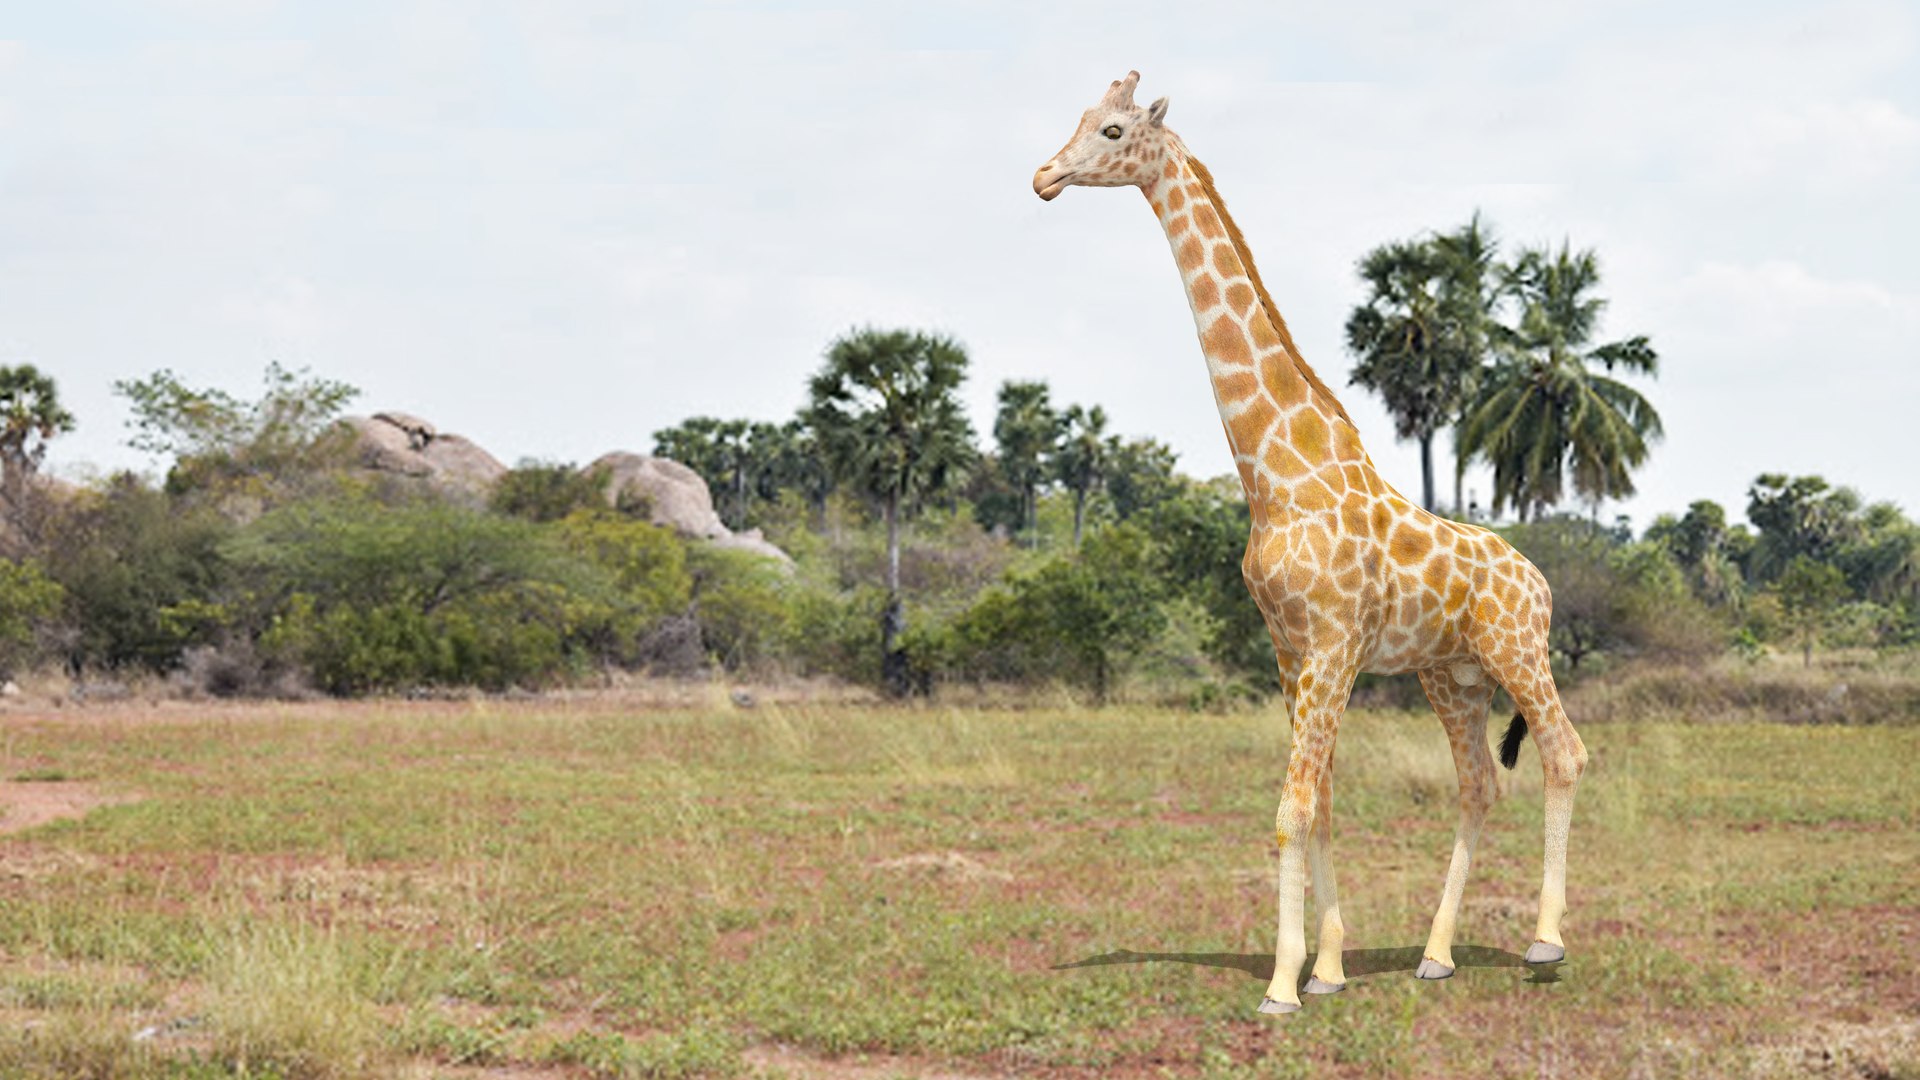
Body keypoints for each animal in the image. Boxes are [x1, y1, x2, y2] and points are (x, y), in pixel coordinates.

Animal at [1031, 72, 1590, 1015]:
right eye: (1076, 120)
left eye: (1109, 131)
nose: (1042, 176)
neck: (1279, 474)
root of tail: (1541, 581)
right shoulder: (1289, 648)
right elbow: (1319, 801)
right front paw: (1326, 968)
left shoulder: (1331, 645)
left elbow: (1292, 806)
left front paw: (1283, 986)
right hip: (1454, 674)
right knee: (1478, 783)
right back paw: (1435, 953)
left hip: (1520, 652)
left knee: (1564, 753)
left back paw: (1547, 940)